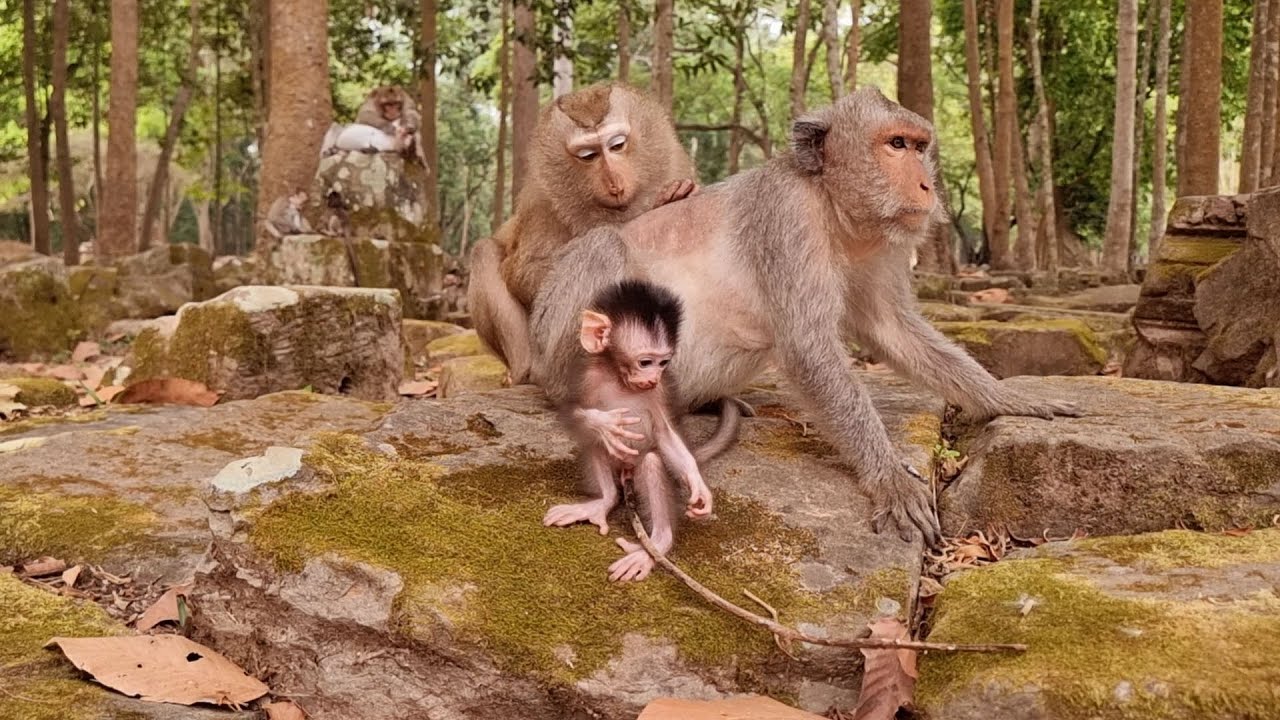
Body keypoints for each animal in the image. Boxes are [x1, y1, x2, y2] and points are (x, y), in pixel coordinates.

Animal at [528, 87, 1082, 547]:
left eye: (919, 145)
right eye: (896, 144)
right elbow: (808, 346)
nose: (926, 185)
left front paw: (1007, 398)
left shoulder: (882, 244)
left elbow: (892, 328)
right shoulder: (787, 218)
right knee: (604, 247)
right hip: (556, 343)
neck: (831, 203)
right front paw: (889, 478)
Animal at [543, 279, 712, 582]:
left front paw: (698, 484)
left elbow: (665, 434)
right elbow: (568, 411)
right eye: (645, 362)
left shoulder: (660, 391)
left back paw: (655, 545)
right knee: (596, 444)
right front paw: (604, 423)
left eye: (663, 363)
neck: (619, 380)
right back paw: (603, 501)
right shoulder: (587, 376)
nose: (653, 377)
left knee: (652, 461)